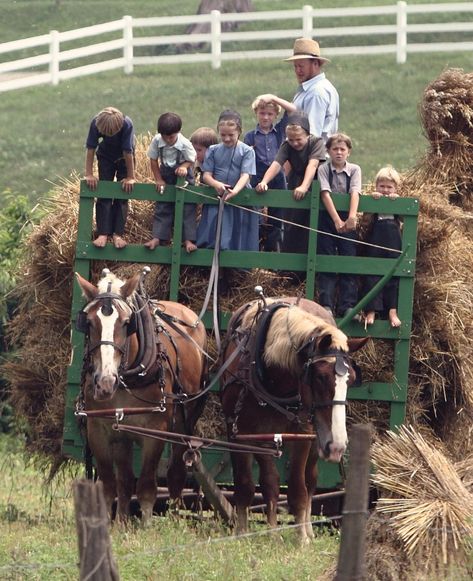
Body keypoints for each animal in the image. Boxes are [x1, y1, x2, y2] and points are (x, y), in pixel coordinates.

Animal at [74, 270, 206, 520]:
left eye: (127, 323)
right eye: (89, 322)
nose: (105, 382)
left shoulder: (155, 431)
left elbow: (146, 485)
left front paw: (146, 523)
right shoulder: (99, 429)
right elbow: (110, 484)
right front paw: (111, 522)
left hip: (183, 424)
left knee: (176, 472)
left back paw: (175, 516)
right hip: (123, 434)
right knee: (125, 479)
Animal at [219, 296, 366, 540]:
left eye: (352, 378)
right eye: (320, 376)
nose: (337, 445)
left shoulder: (303, 433)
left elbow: (299, 488)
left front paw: (301, 538)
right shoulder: (242, 432)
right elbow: (254, 484)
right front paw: (246, 532)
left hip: (317, 440)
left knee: (310, 480)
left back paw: (306, 528)